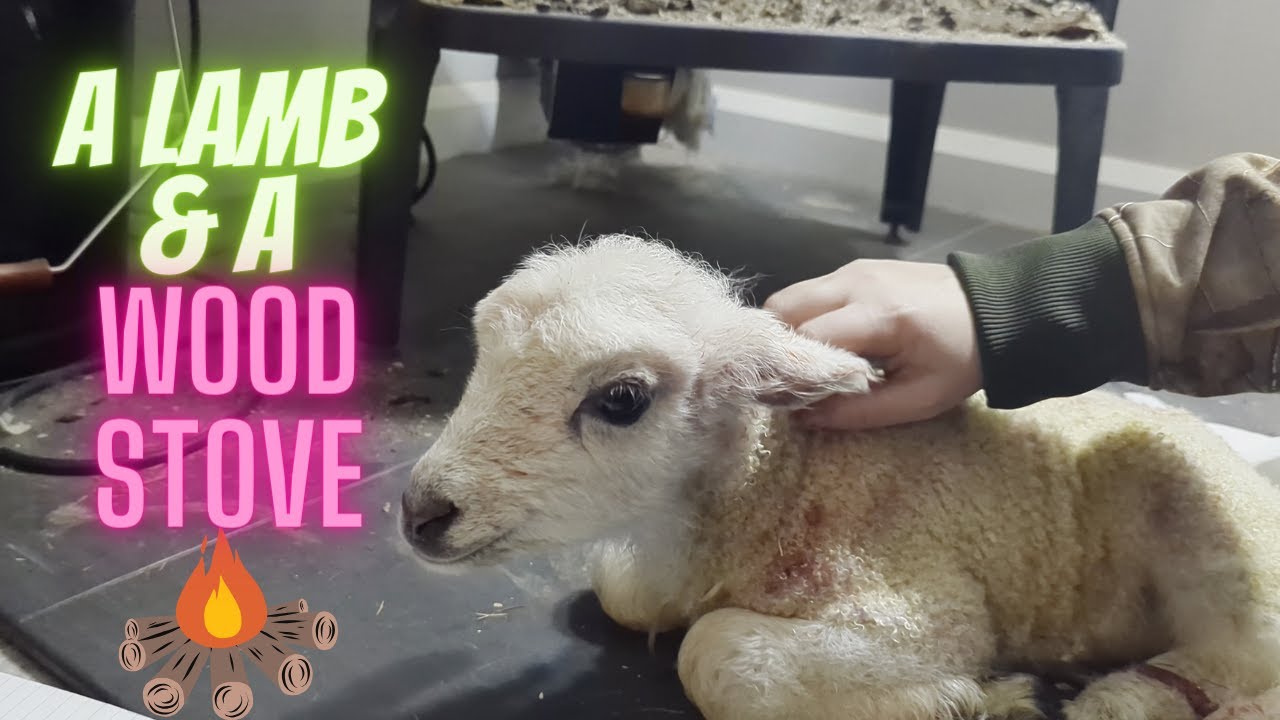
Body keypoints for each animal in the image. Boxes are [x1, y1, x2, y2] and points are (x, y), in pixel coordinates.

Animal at [400, 234, 1280, 720]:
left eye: (621, 399)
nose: (419, 511)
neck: (779, 489)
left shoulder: (927, 610)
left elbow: (713, 651)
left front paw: (969, 698)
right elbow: (624, 591)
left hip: (1211, 515)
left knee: (1246, 660)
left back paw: (1129, 698)